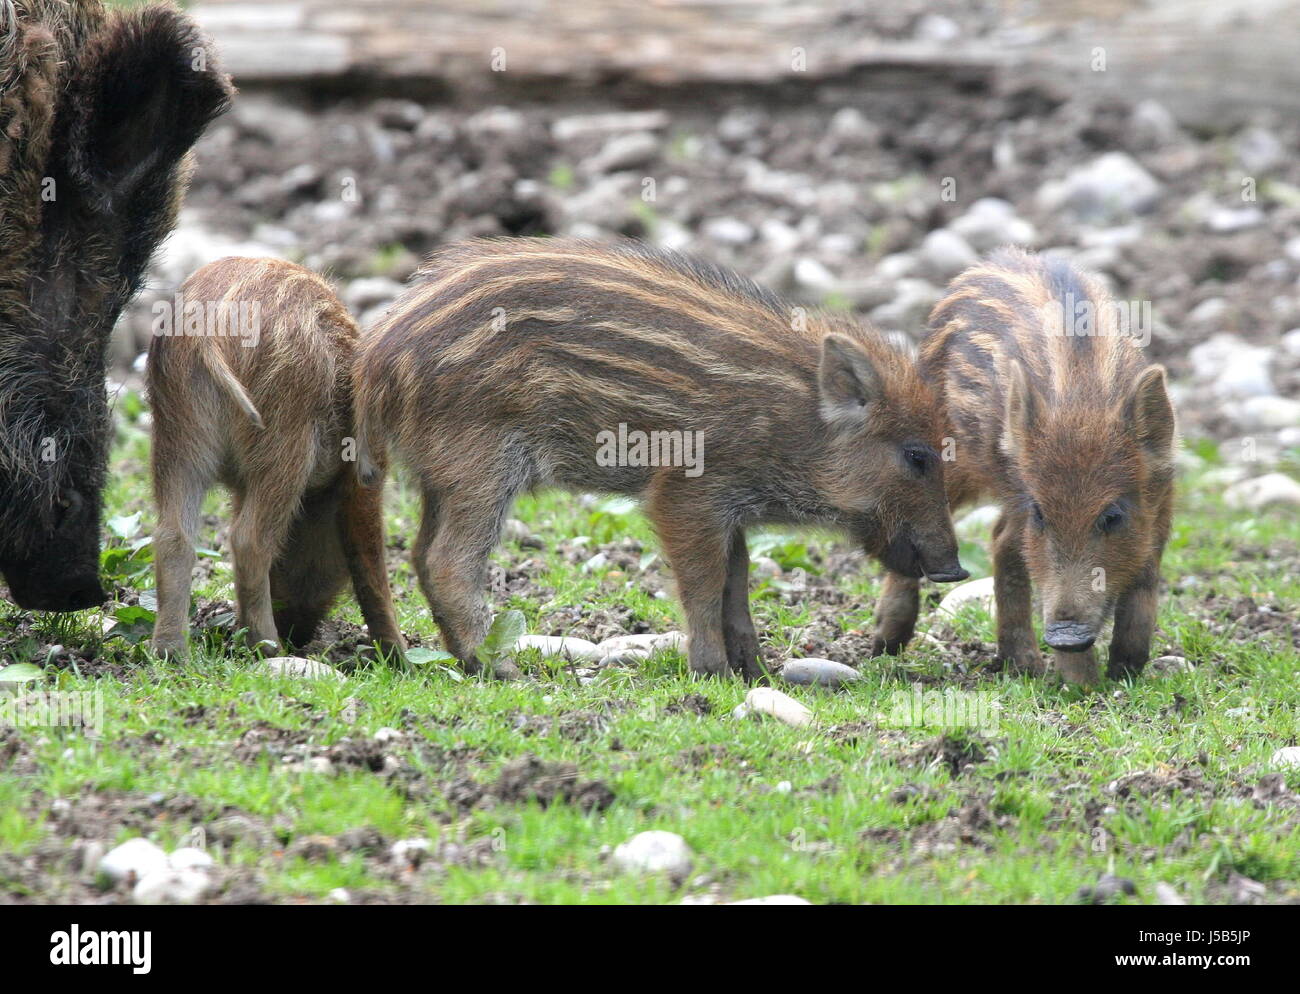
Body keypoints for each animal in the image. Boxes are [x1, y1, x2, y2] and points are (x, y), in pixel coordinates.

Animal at [147, 257, 405, 662]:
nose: (299, 634)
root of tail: (207, 328)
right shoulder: (362, 475)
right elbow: (370, 555)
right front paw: (402, 657)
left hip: (177, 432)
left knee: (172, 535)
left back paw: (171, 653)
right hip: (285, 439)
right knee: (248, 539)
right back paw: (268, 648)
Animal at [353, 237, 967, 679]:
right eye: (916, 455)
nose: (956, 568)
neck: (795, 421)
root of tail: (375, 356)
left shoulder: (729, 510)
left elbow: (736, 583)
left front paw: (757, 674)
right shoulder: (687, 493)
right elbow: (704, 584)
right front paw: (712, 673)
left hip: (443, 475)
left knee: (419, 554)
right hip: (480, 463)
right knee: (449, 561)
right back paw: (503, 670)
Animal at [873, 248, 1176, 684]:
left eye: (1113, 516)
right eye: (1041, 514)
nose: (1065, 633)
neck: (1083, 401)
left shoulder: (1162, 498)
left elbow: (1146, 575)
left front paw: (1126, 669)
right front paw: (1084, 686)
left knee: (1000, 538)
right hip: (949, 455)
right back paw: (889, 643)